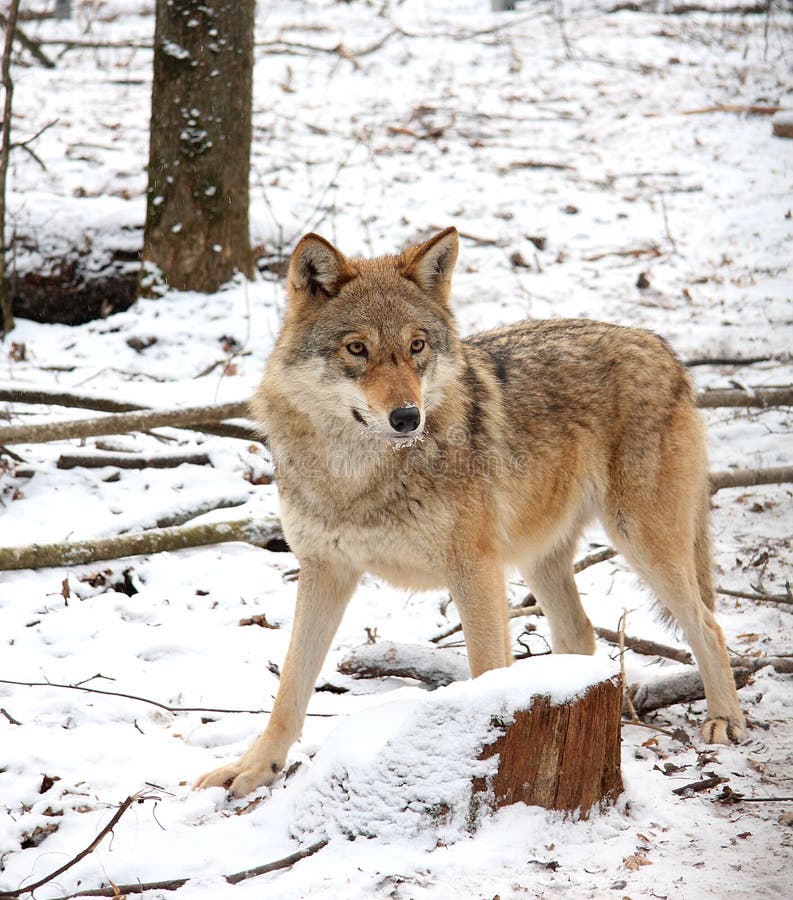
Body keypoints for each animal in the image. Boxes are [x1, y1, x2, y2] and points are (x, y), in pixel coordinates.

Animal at [196, 227, 746, 797]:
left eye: (416, 346)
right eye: (357, 348)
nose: (407, 417)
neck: (358, 476)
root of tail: (659, 345)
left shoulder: (474, 570)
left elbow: (485, 676)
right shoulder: (324, 569)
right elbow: (290, 686)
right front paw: (254, 769)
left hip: (640, 543)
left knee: (709, 626)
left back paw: (725, 720)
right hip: (538, 559)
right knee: (581, 633)